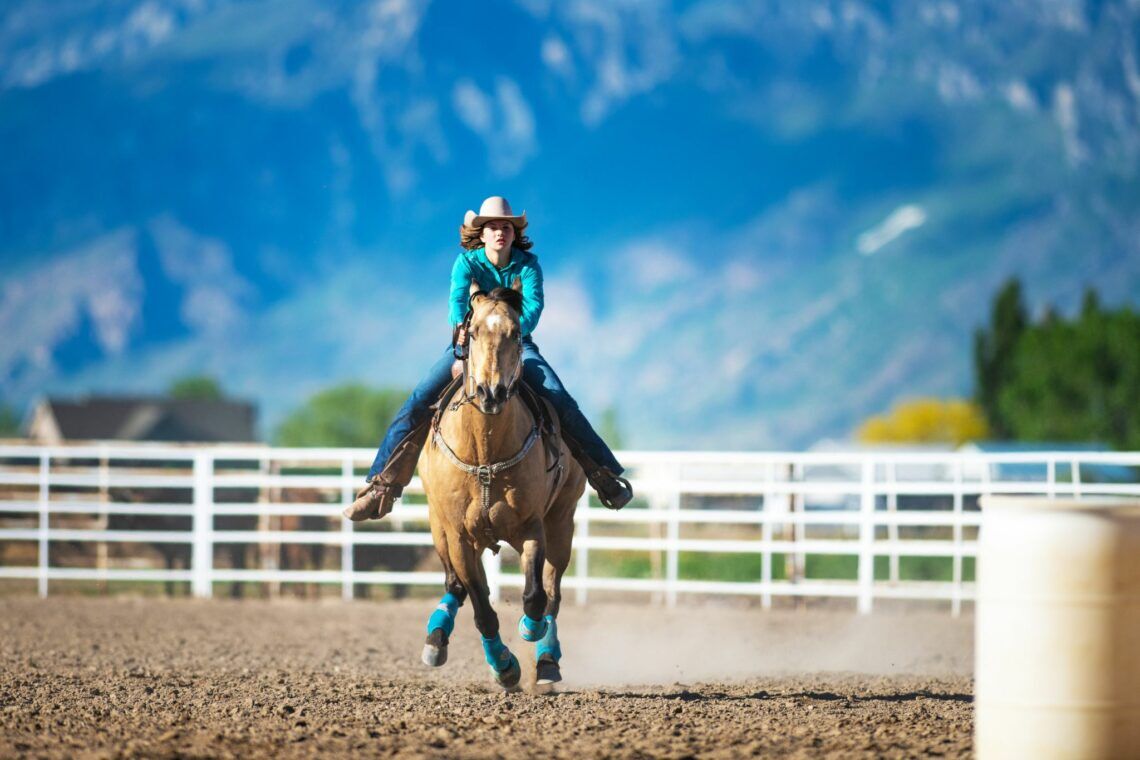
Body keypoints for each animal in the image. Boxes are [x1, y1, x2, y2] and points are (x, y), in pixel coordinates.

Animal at [416, 282, 586, 690]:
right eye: (473, 331)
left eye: (516, 334)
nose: (490, 393)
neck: (485, 456)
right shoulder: (460, 537)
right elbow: (481, 607)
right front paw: (505, 666)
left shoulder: (532, 527)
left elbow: (535, 596)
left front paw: (529, 630)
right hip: (438, 525)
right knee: (454, 586)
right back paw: (436, 639)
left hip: (562, 522)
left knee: (553, 593)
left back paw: (547, 661)